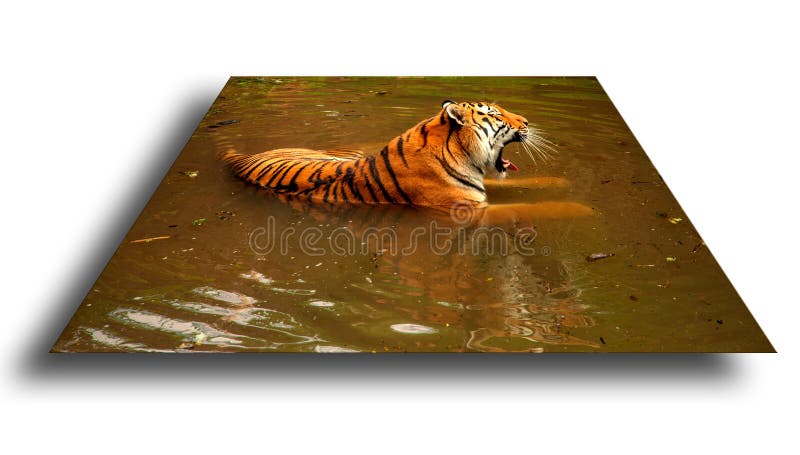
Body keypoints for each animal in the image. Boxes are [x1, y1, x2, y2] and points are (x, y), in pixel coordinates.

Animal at [220, 100, 594, 223]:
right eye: (497, 114)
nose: (527, 121)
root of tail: (245, 156)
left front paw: (558, 184)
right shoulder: (469, 211)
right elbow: (530, 208)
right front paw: (582, 208)